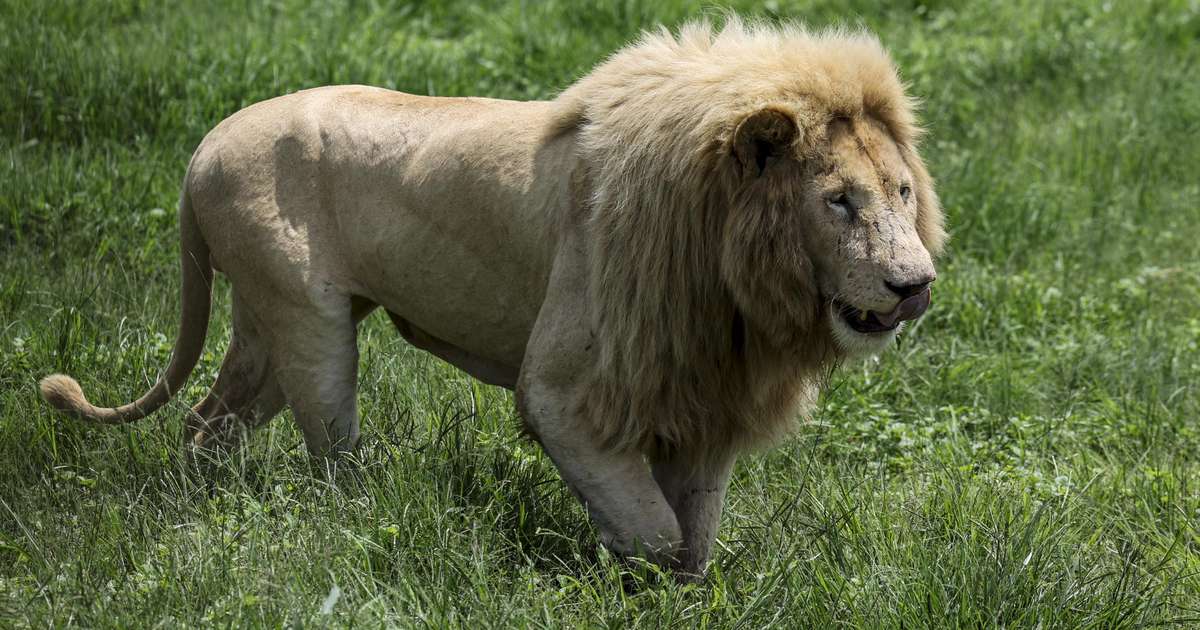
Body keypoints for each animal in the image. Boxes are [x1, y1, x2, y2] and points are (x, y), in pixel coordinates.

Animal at [38, 19, 944, 576]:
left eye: (902, 193)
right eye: (839, 202)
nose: (916, 285)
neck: (736, 288)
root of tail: (202, 147)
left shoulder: (702, 390)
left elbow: (696, 533)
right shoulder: (565, 391)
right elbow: (655, 530)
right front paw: (626, 573)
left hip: (263, 325)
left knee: (206, 423)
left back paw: (208, 507)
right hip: (308, 324)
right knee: (330, 455)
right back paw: (360, 522)